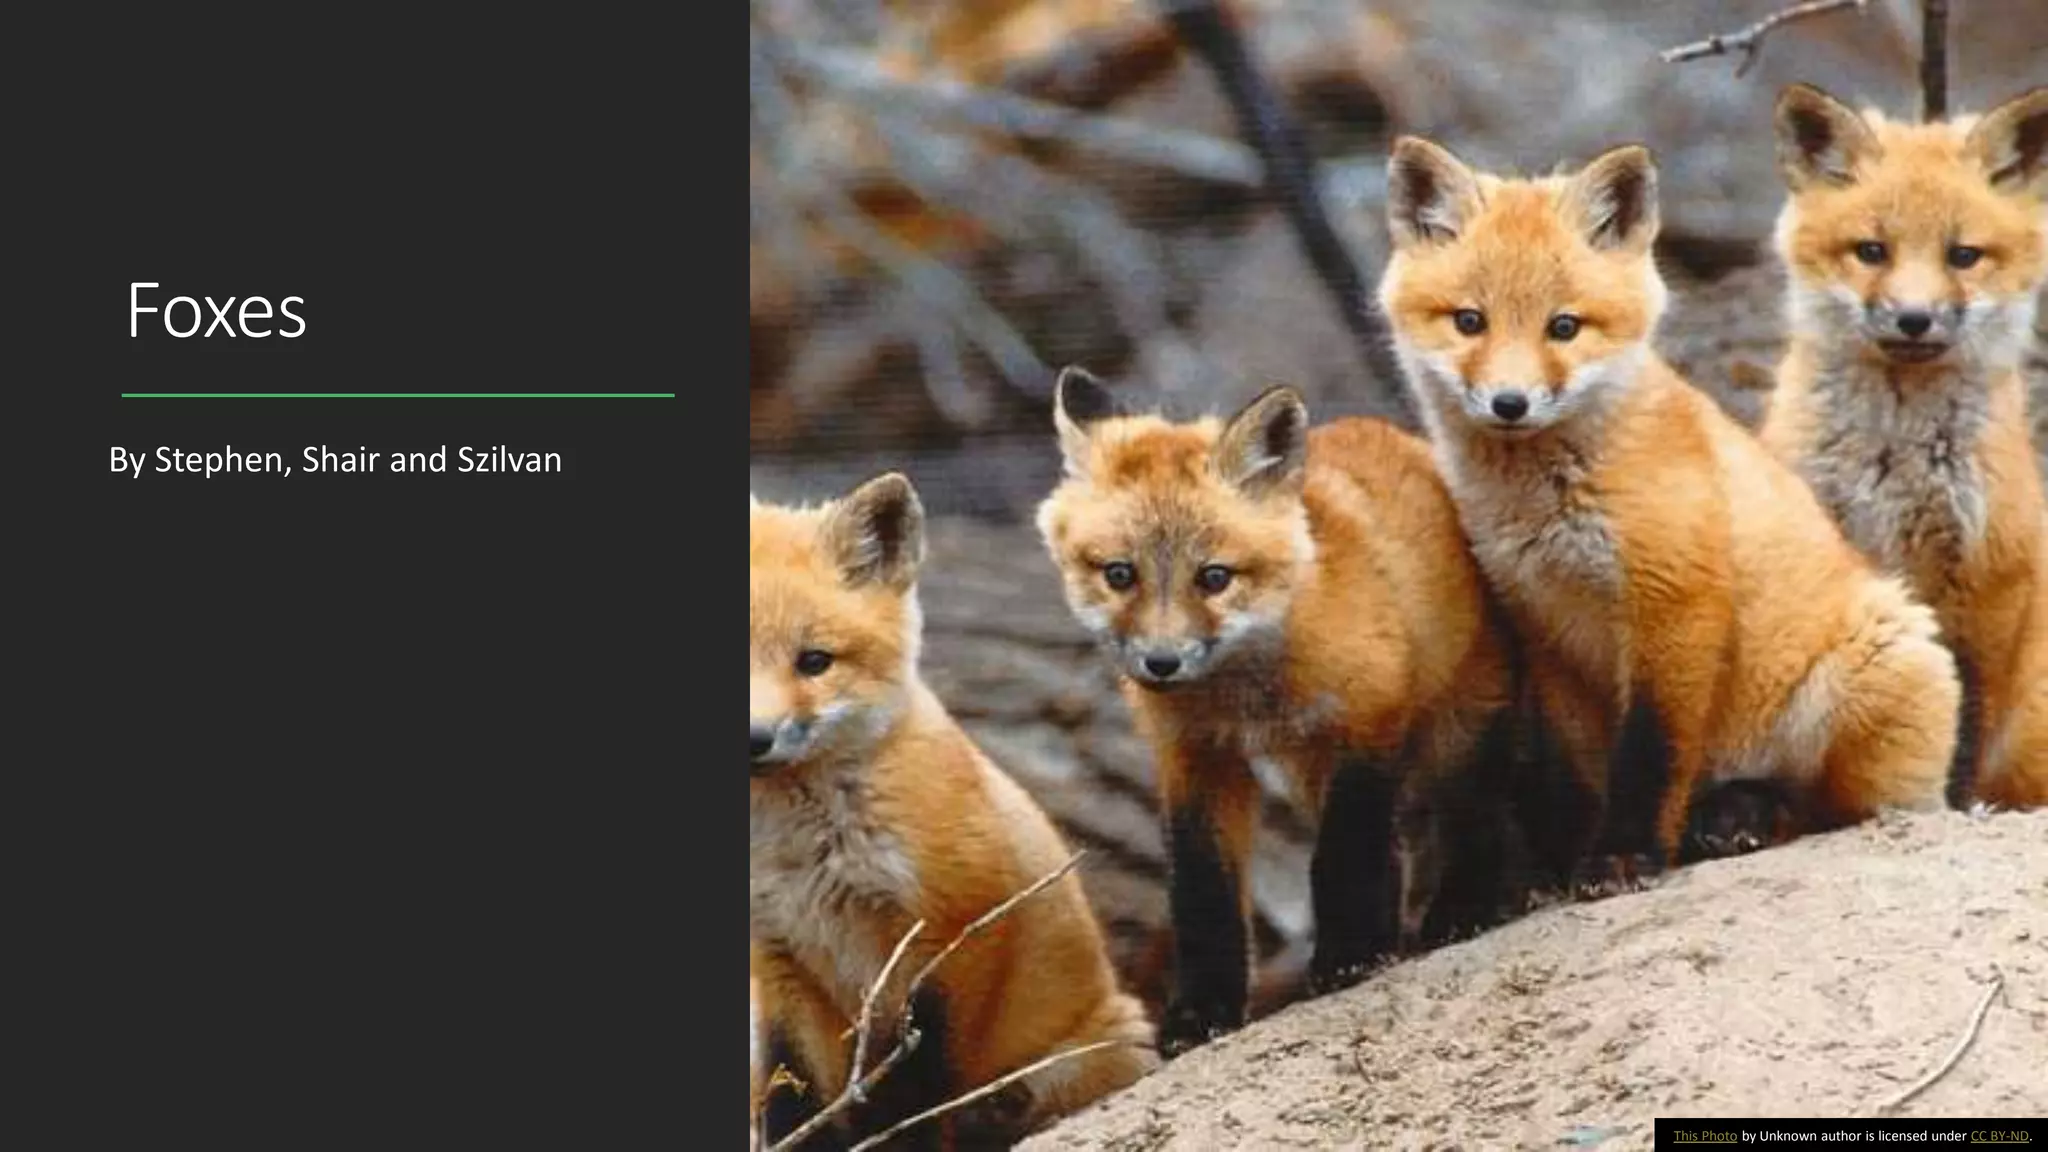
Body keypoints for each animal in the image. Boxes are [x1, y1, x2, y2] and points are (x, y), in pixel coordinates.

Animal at [750, 474, 1156, 1149]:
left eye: (814, 661)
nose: (756, 738)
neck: (809, 858)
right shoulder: (779, 960)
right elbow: (796, 1092)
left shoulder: (952, 931)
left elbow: (921, 1080)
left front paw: (904, 1135)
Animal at [1035, 368, 1525, 1054]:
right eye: (1119, 574)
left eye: (1214, 577)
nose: (1161, 663)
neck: (1246, 697)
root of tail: (1407, 440)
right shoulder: (1196, 758)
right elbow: (1202, 894)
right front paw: (1203, 1009)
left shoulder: (1366, 725)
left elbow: (1341, 858)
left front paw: (1347, 957)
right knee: (1400, 850)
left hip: (1456, 731)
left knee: (1474, 820)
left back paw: (1459, 911)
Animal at [1375, 135, 1963, 874]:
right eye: (1469, 322)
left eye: (1563, 327)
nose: (1510, 404)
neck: (1550, 504)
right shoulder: (1548, 629)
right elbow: (1584, 770)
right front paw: (1572, 865)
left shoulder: (1675, 603)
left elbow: (1652, 756)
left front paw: (1626, 855)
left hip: (1876, 676)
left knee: (1826, 813)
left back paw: (1746, 819)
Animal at [1759, 83, 2048, 812]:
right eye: (1871, 250)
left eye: (1963, 256)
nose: (1914, 319)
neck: (1892, 461)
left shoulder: (1988, 582)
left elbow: (1971, 718)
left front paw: (1960, 805)